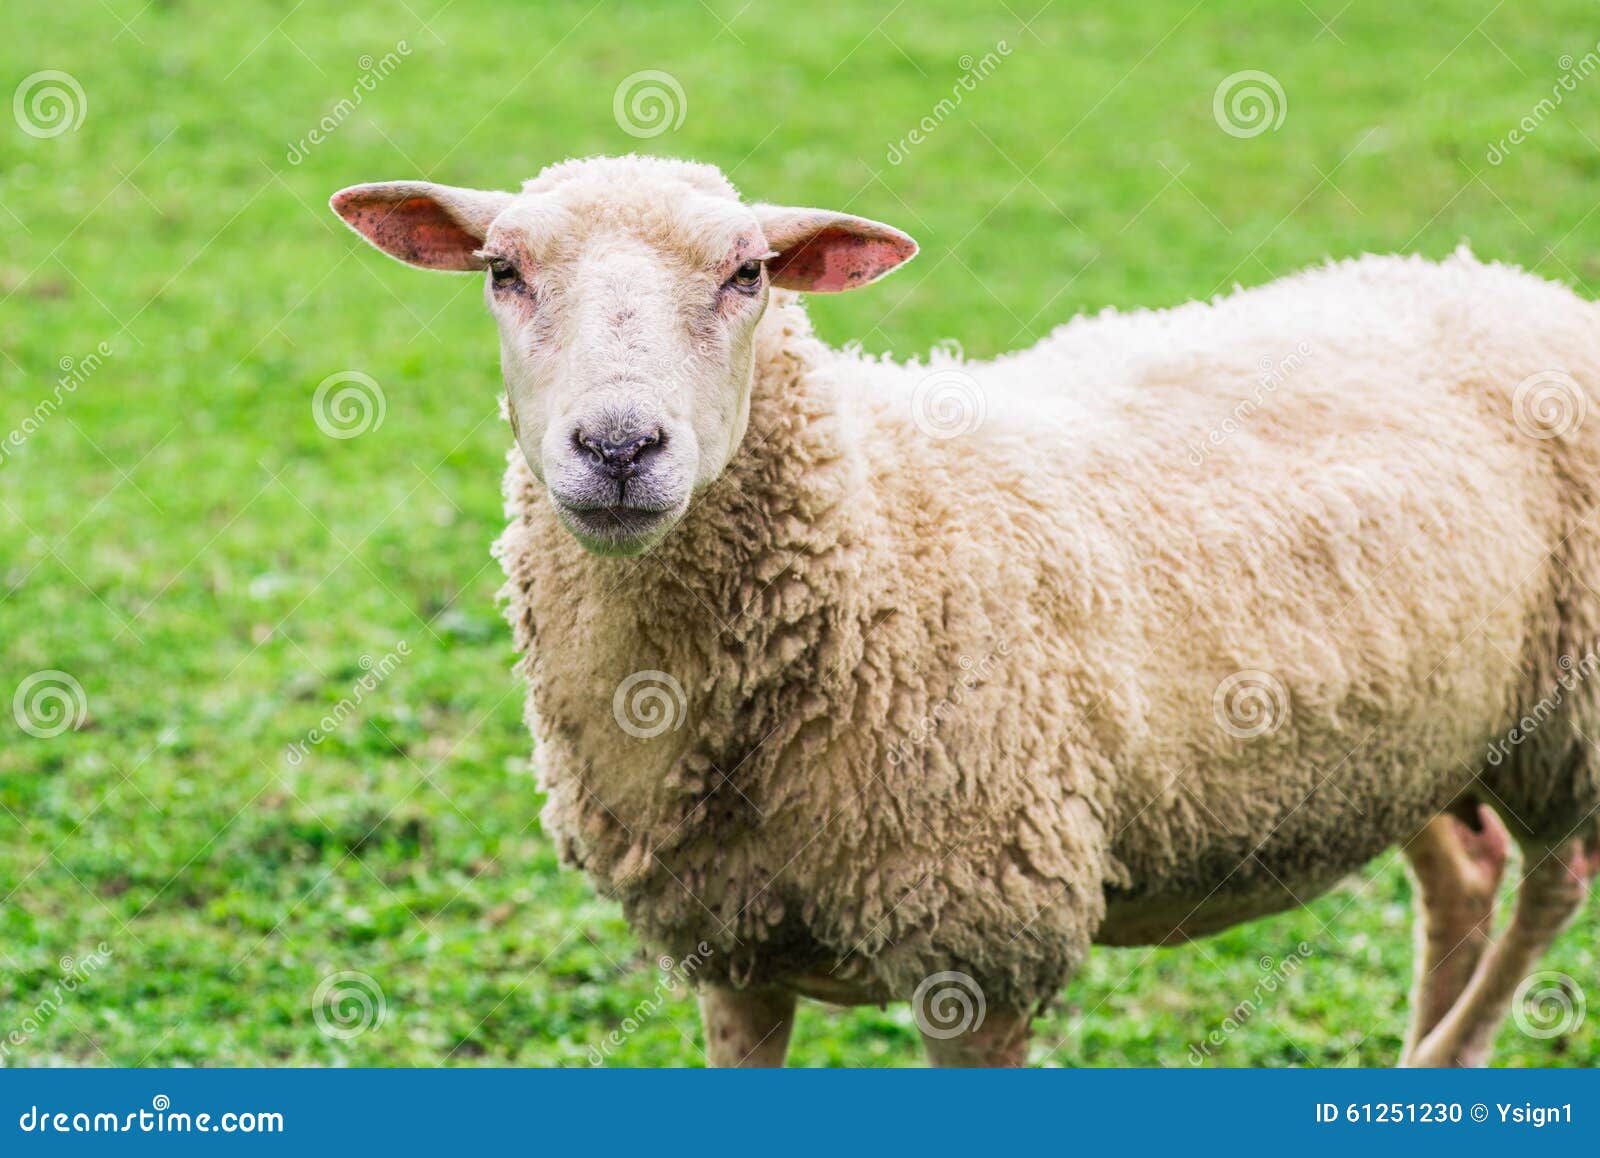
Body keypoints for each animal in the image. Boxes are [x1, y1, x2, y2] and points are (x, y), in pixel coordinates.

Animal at [331, 154, 1600, 1068]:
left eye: (749, 276)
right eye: (502, 270)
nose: (617, 447)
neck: (876, 531)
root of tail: (1504, 279)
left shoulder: (981, 954)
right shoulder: (734, 956)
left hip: (1564, 719)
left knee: (1552, 882)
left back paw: (1445, 1054)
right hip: (1403, 740)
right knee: (1462, 874)